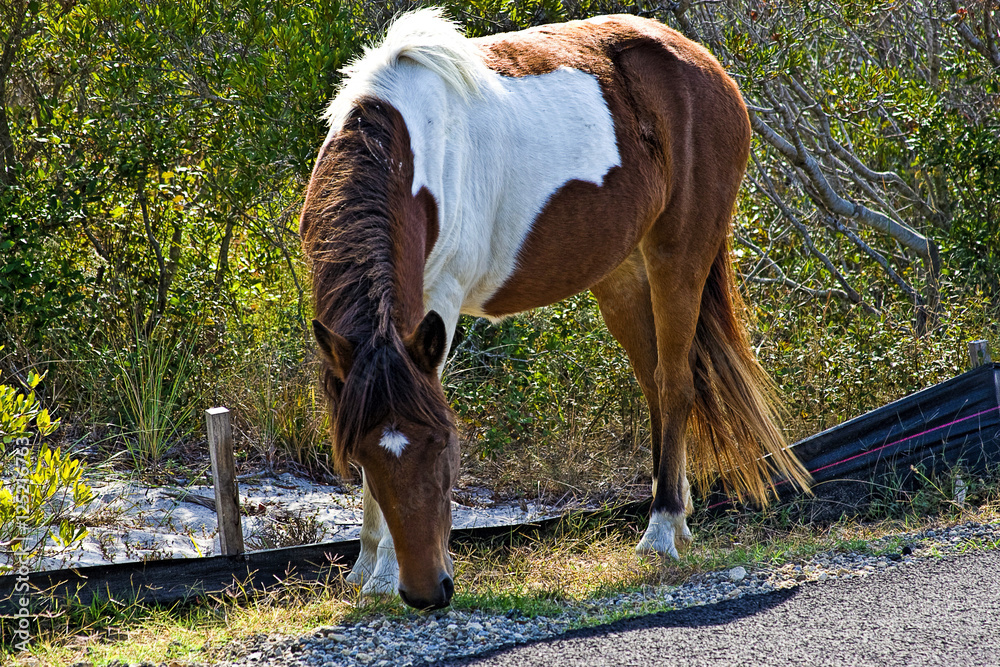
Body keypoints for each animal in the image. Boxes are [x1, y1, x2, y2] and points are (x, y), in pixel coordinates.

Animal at [300, 9, 811, 610]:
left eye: (443, 444)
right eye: (359, 455)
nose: (427, 591)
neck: (405, 145)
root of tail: (708, 67)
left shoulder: (438, 301)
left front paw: (380, 573)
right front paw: (367, 567)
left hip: (679, 255)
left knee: (675, 384)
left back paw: (661, 531)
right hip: (622, 274)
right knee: (655, 384)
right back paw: (678, 519)